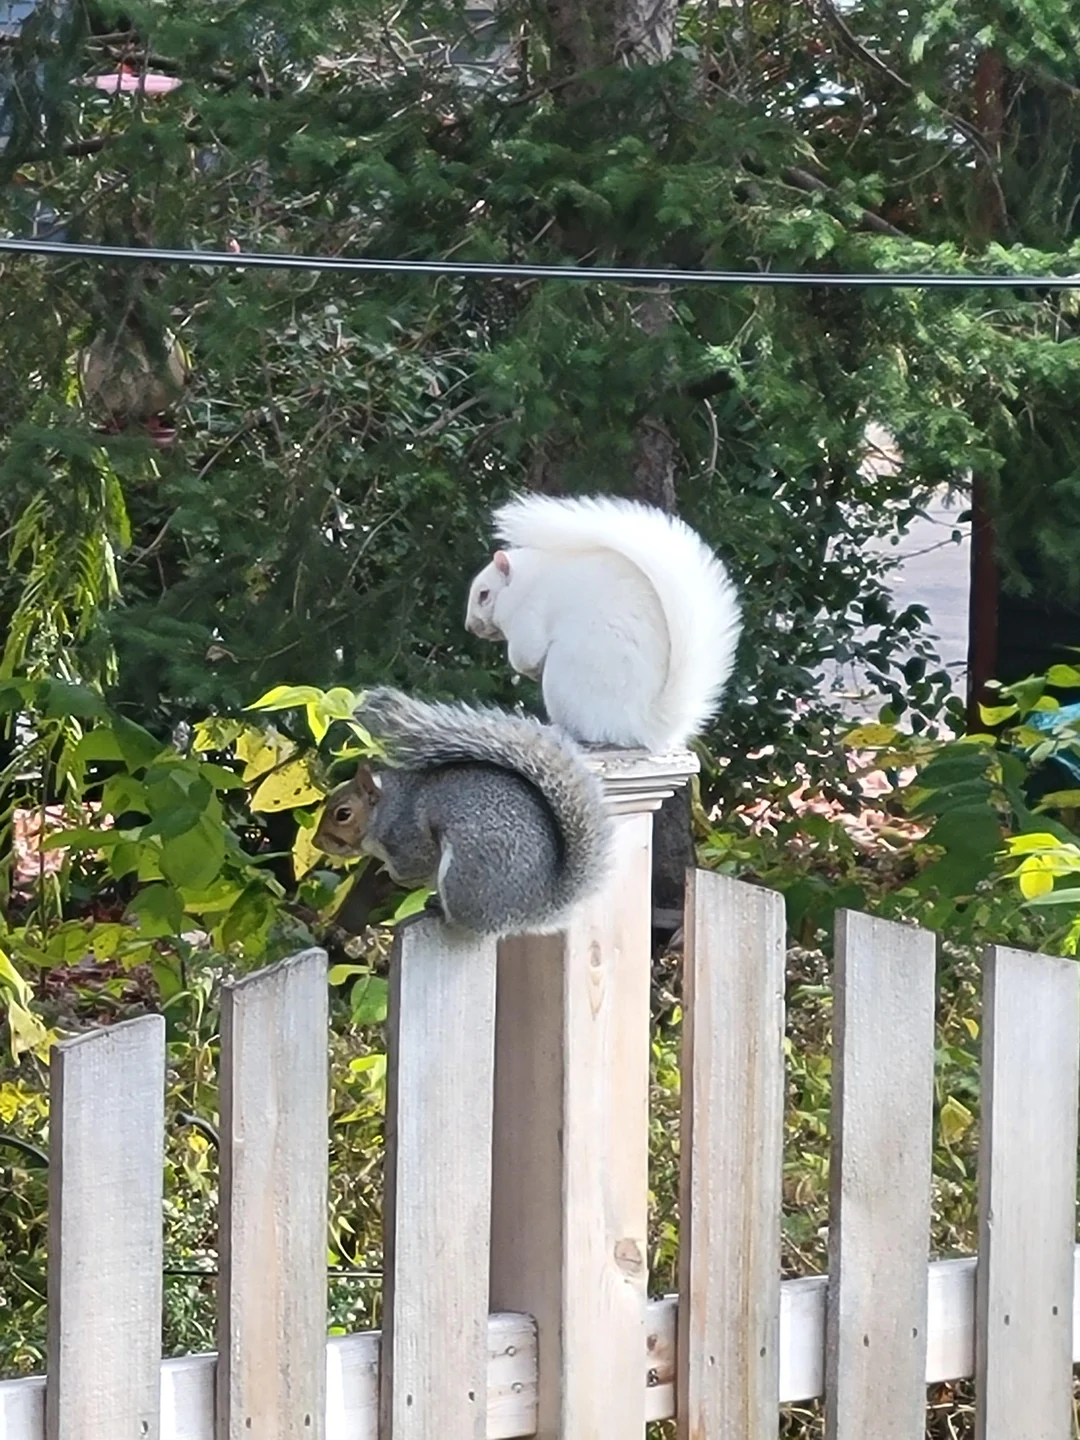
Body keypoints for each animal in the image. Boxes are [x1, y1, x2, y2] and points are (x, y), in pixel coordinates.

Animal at [312, 687, 613, 939]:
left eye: (343, 814)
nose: (316, 842)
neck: (388, 808)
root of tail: (533, 908)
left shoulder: (410, 841)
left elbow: (413, 868)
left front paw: (390, 874)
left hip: (463, 876)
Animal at [464, 494, 741, 752]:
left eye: (484, 595)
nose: (469, 627)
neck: (523, 582)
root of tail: (639, 725)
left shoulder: (529, 616)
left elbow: (525, 656)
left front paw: (530, 670)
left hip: (564, 678)